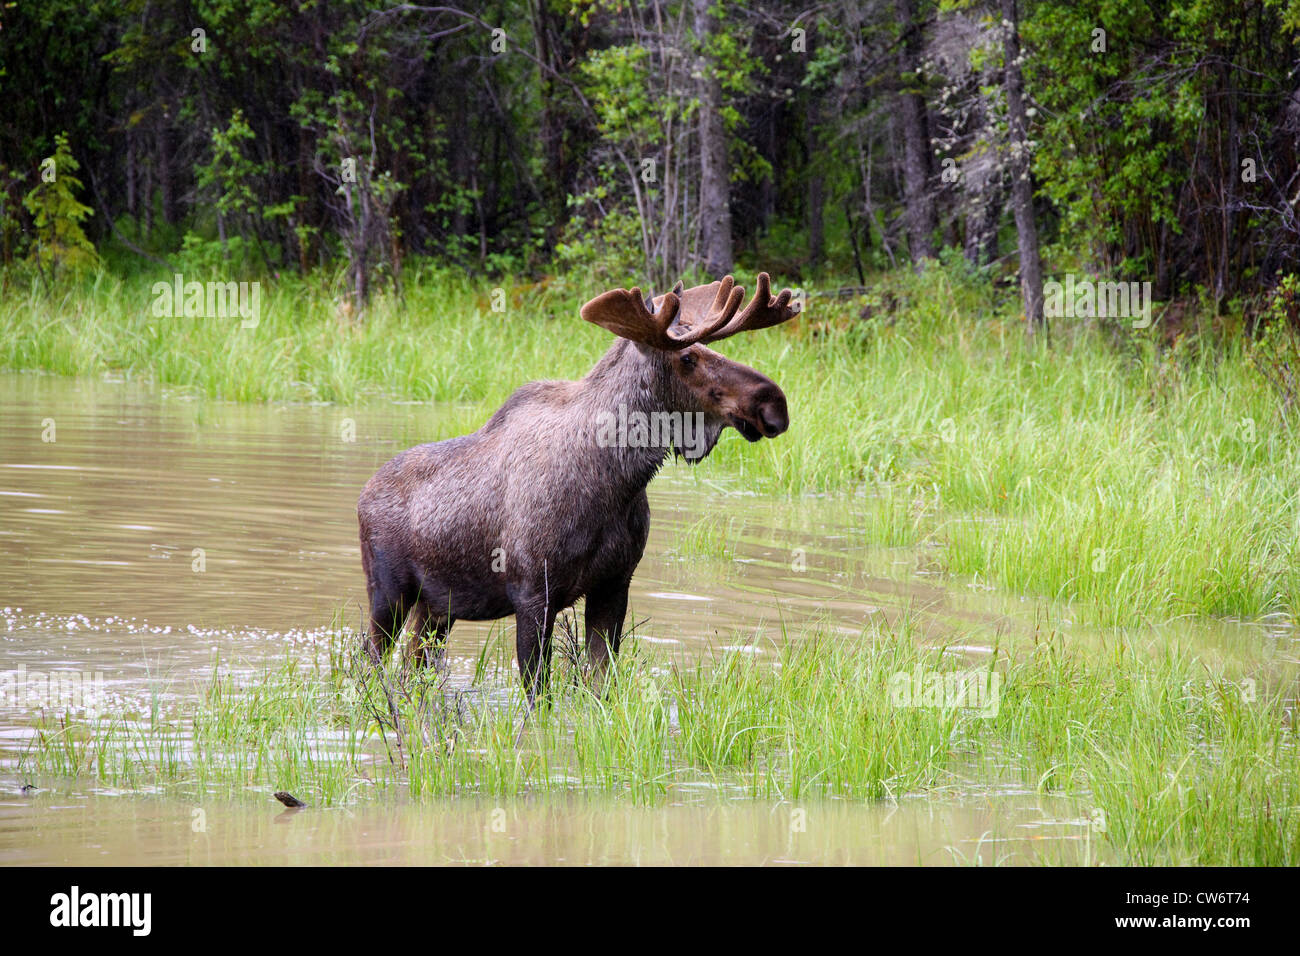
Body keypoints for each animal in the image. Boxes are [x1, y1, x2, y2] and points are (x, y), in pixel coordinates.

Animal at [357, 272, 800, 707]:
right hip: (388, 593)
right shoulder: (533, 593)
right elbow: (539, 696)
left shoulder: (615, 583)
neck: (615, 483)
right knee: (371, 662)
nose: (773, 402)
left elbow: (601, 684)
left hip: (435, 608)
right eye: (687, 358)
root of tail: (363, 496)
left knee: (413, 665)